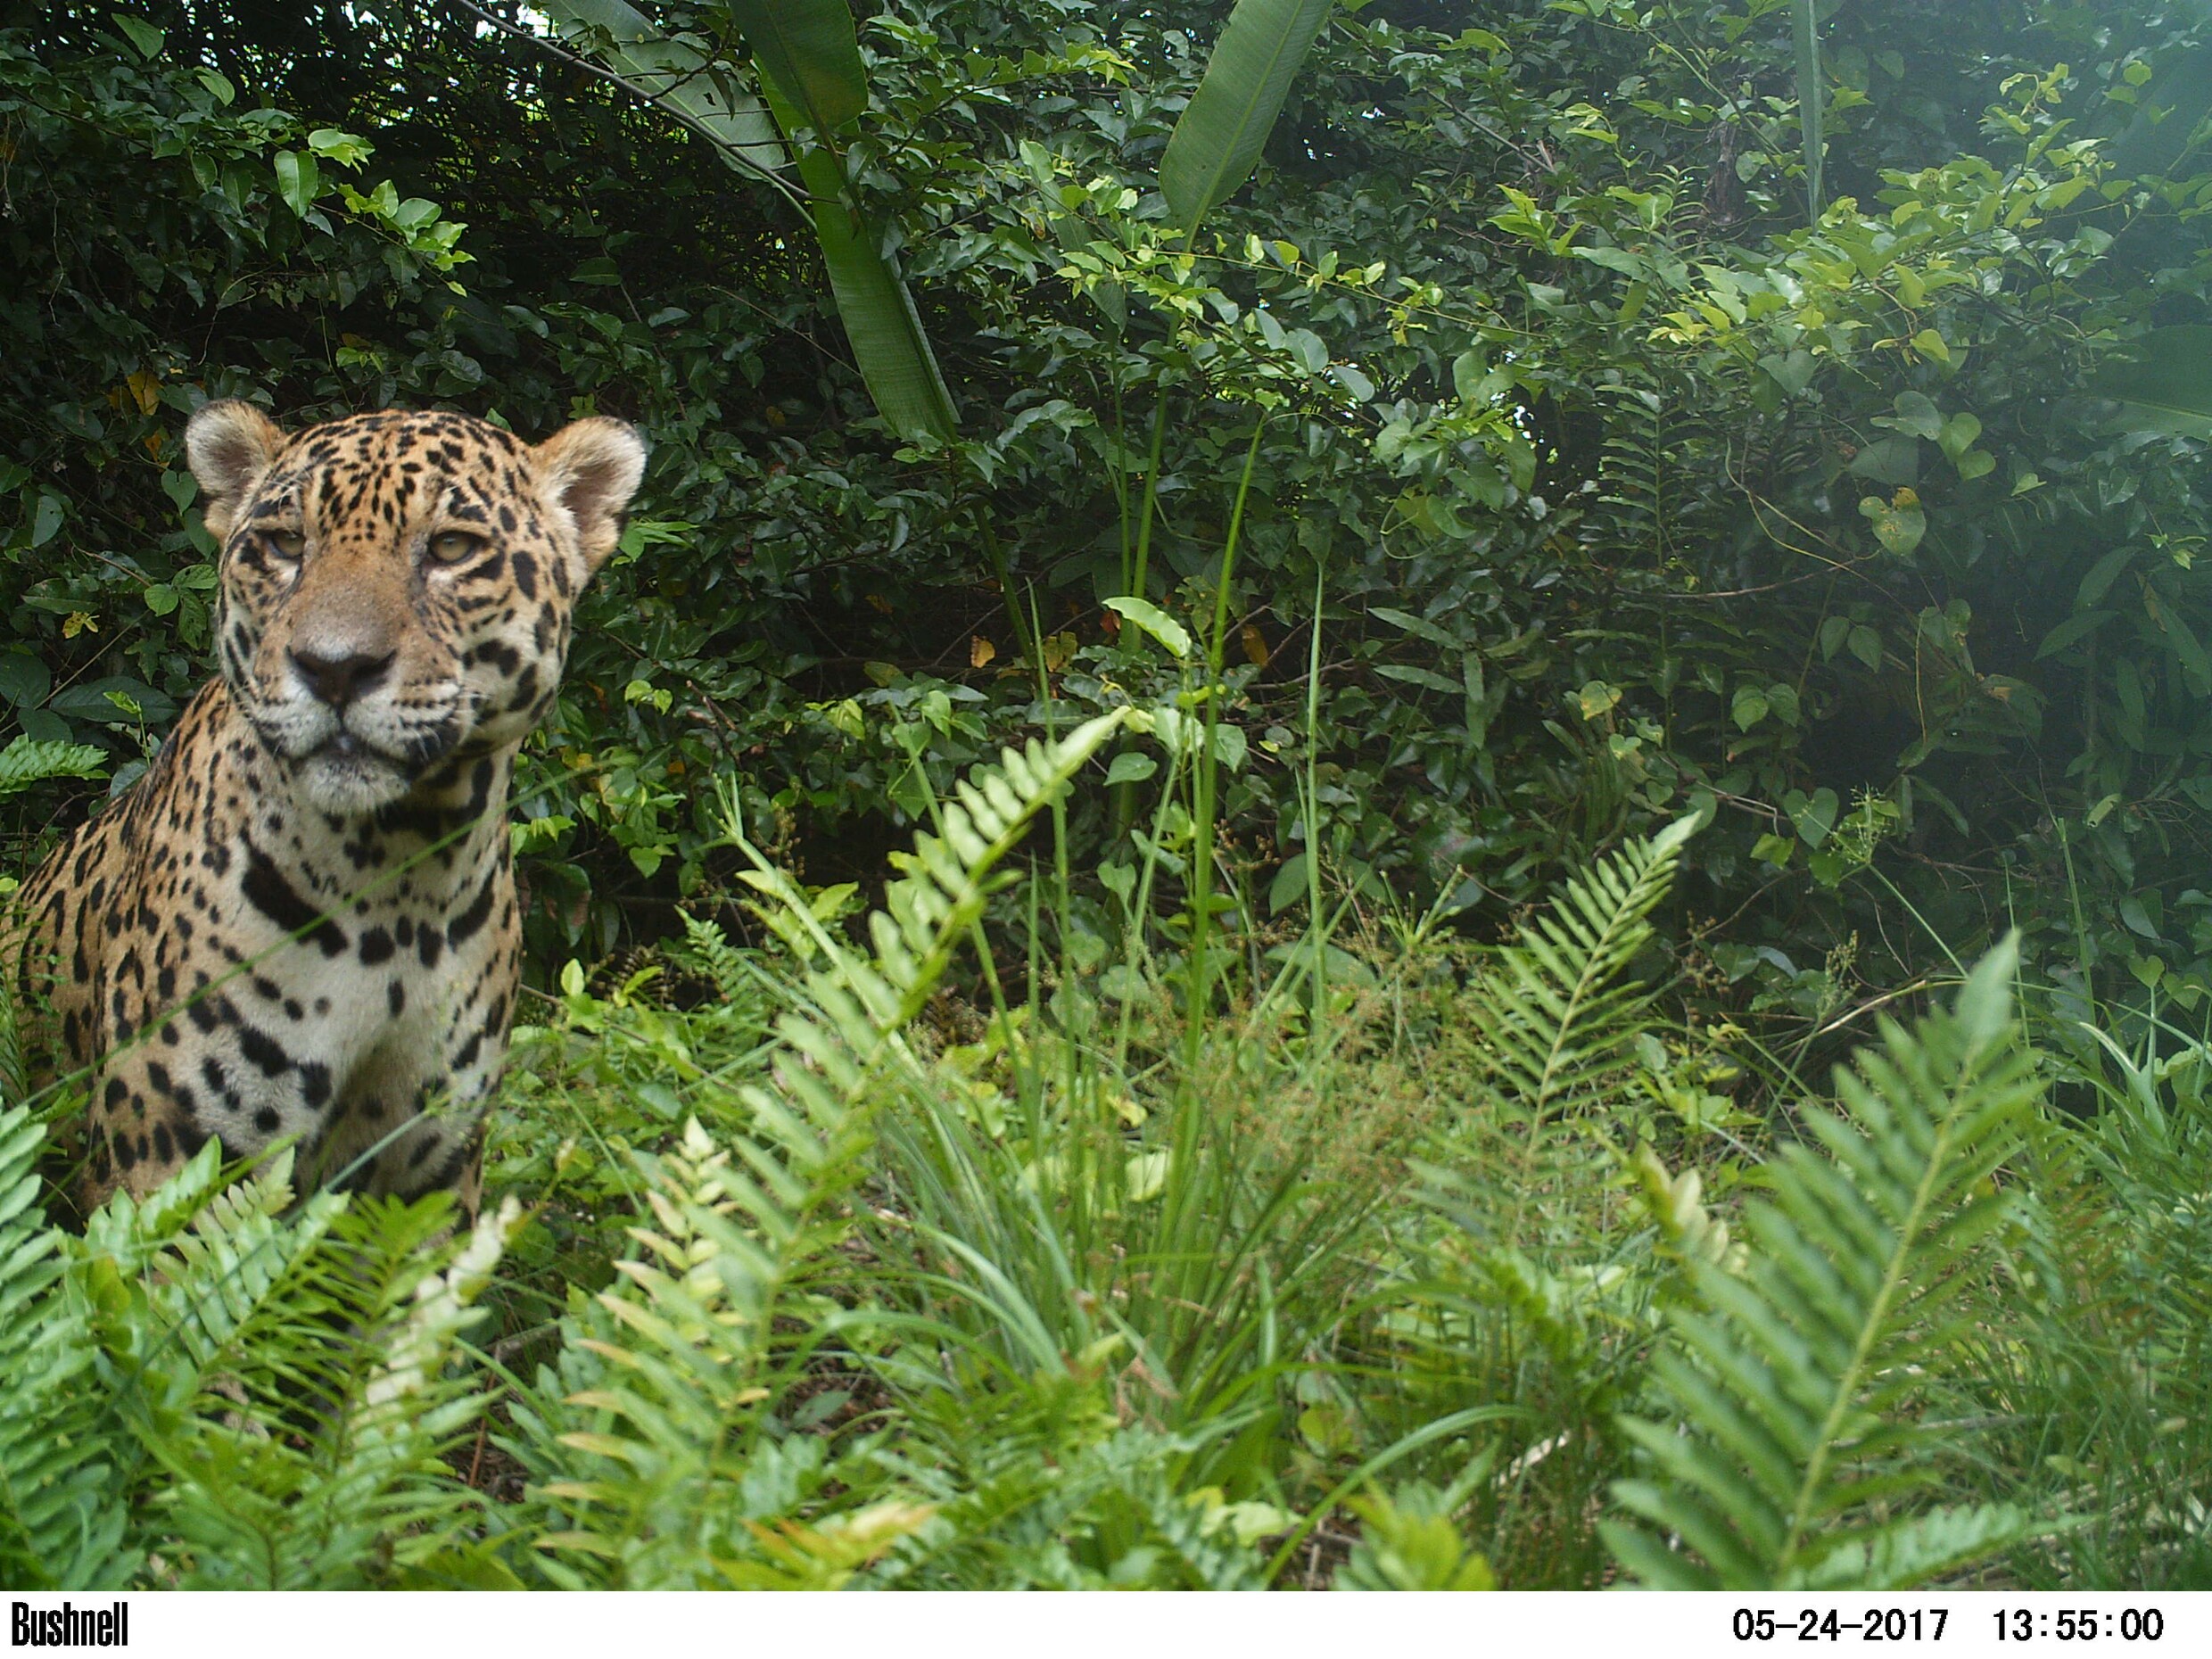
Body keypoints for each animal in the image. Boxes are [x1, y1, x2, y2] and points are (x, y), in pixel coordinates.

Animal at [7, 400, 645, 1216]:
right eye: (285, 543)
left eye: (451, 547)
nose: (334, 669)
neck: (400, 881)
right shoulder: (170, 1164)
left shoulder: (428, 1175)